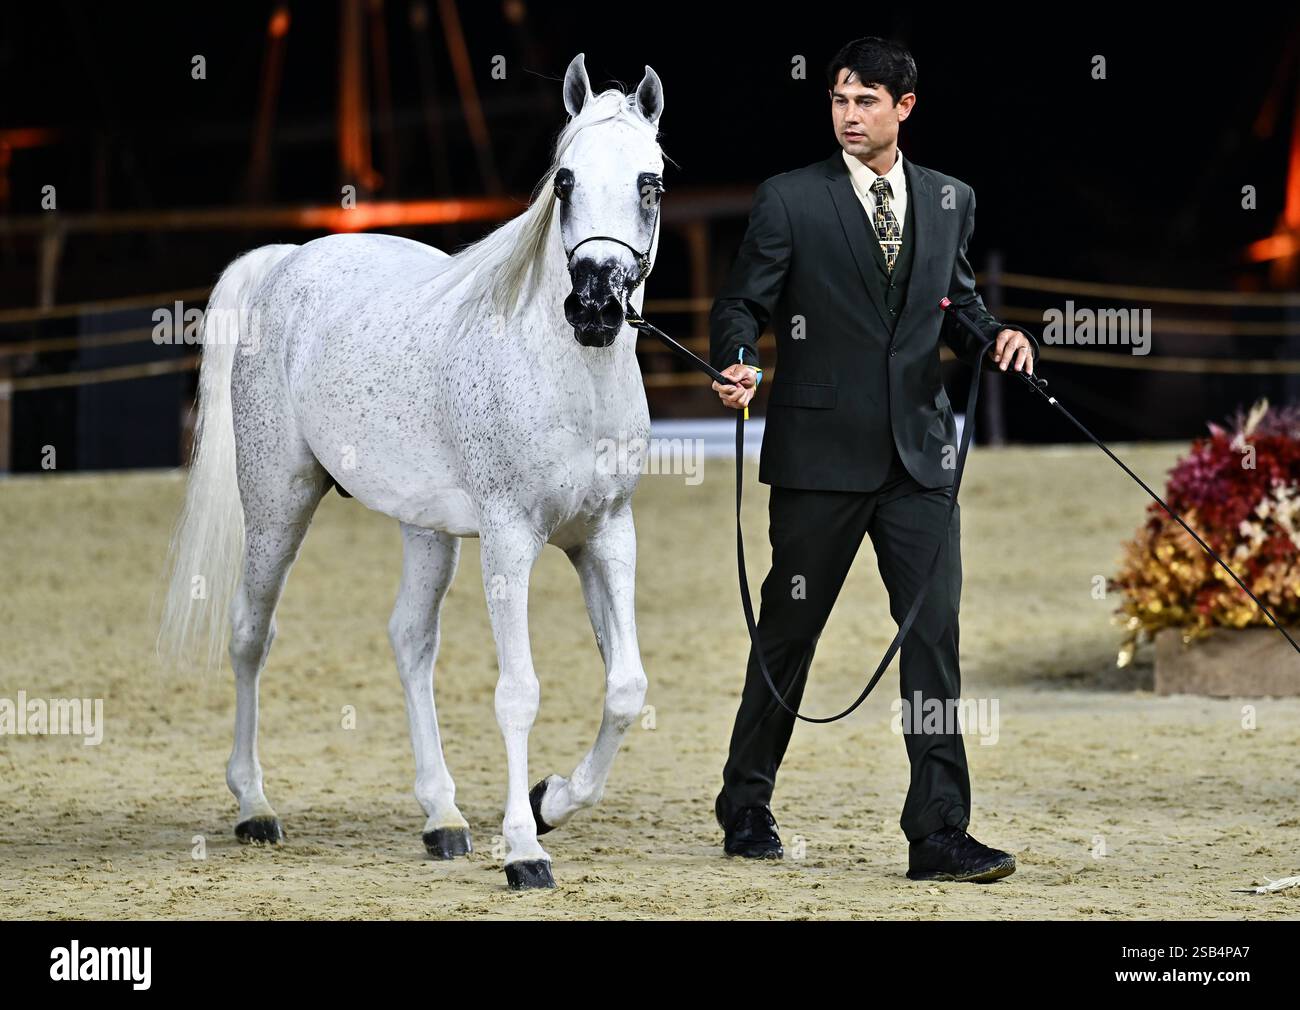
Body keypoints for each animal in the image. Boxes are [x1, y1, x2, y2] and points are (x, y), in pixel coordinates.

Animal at [158, 54, 665, 890]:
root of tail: (288, 262)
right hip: (277, 506)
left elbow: (625, 689)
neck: (570, 377)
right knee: (251, 634)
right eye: (563, 180)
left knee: (408, 640)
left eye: (648, 181)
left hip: (426, 531)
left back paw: (443, 817)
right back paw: (255, 806)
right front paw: (524, 851)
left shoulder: (607, 535)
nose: (593, 306)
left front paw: (551, 799)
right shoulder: (510, 541)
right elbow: (518, 693)